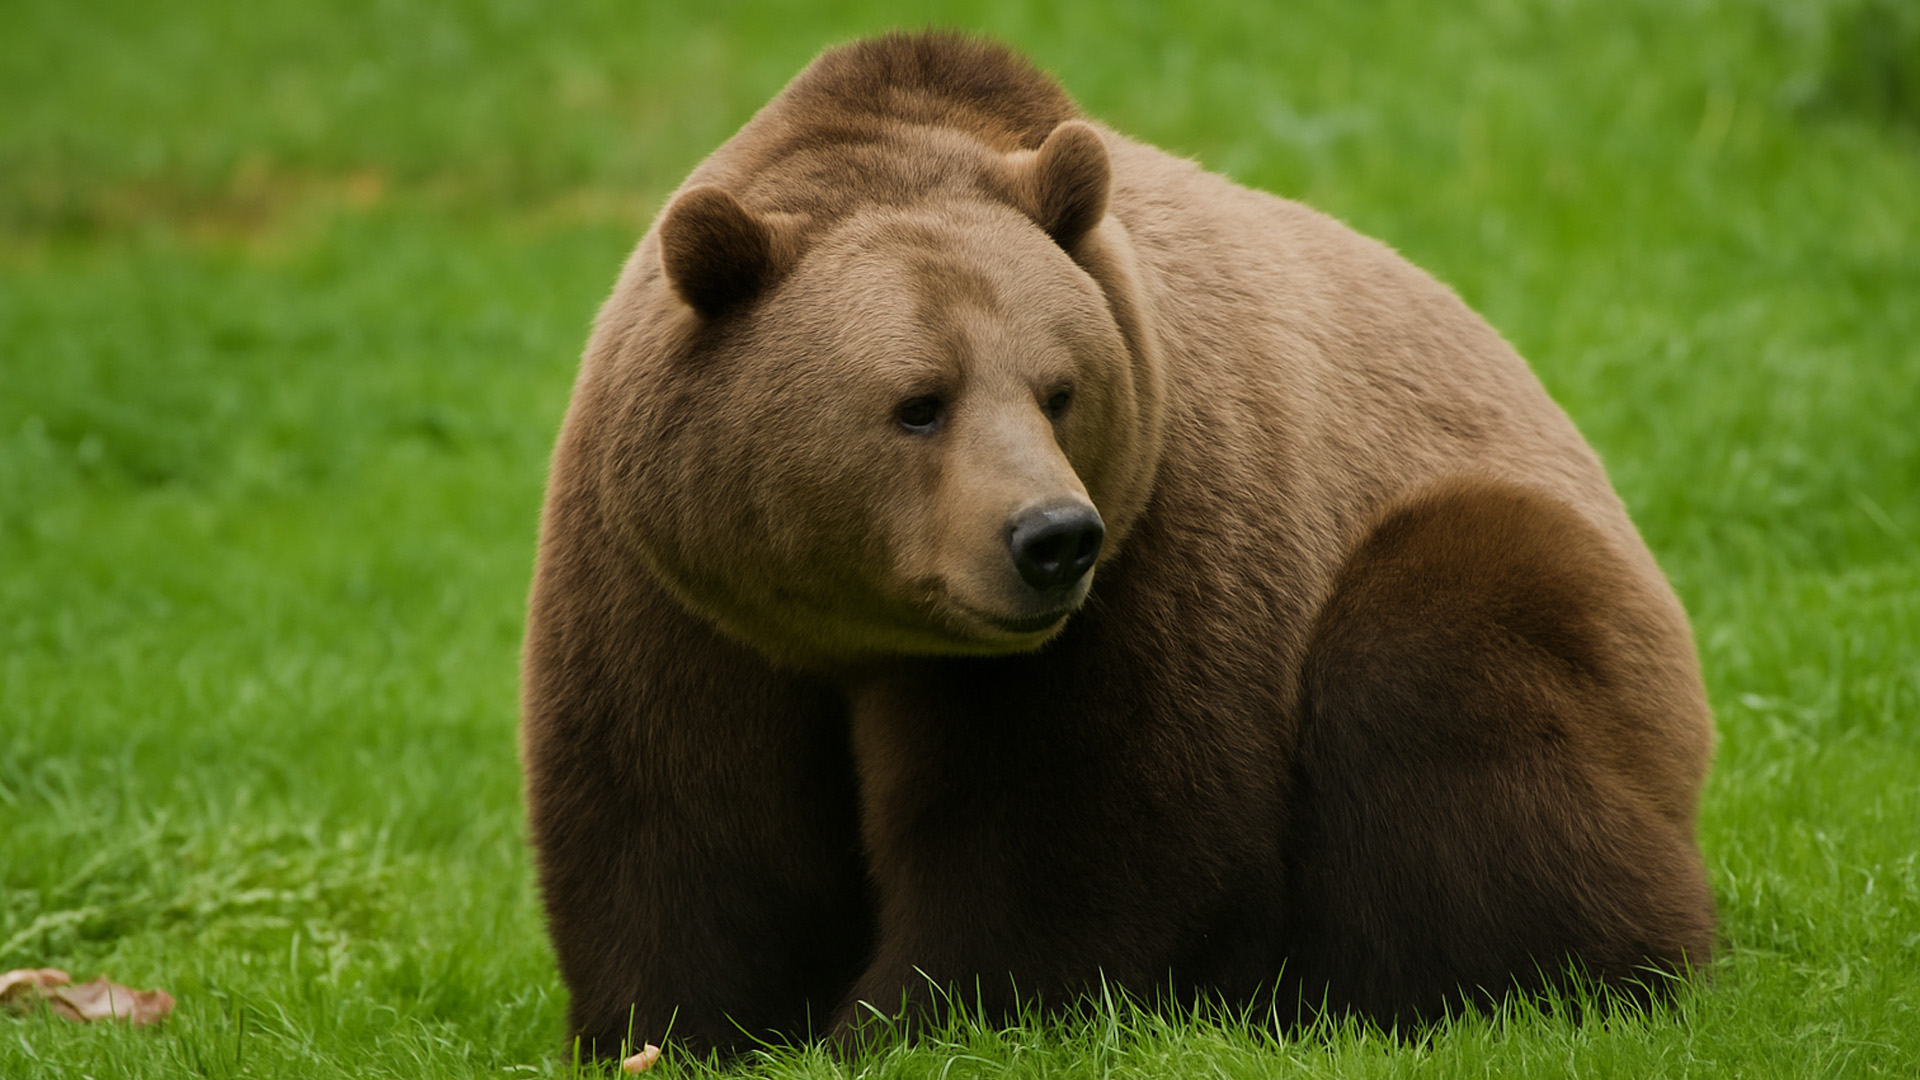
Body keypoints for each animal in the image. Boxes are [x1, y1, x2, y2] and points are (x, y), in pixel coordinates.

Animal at [520, 31, 1716, 1059]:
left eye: (1059, 388)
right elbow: (675, 825)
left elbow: (1062, 840)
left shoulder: (1155, 551)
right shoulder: (670, 589)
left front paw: (897, 1025)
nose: (1052, 539)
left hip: (1552, 613)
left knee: (1442, 654)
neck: (861, 630)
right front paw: (671, 1032)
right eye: (919, 404)